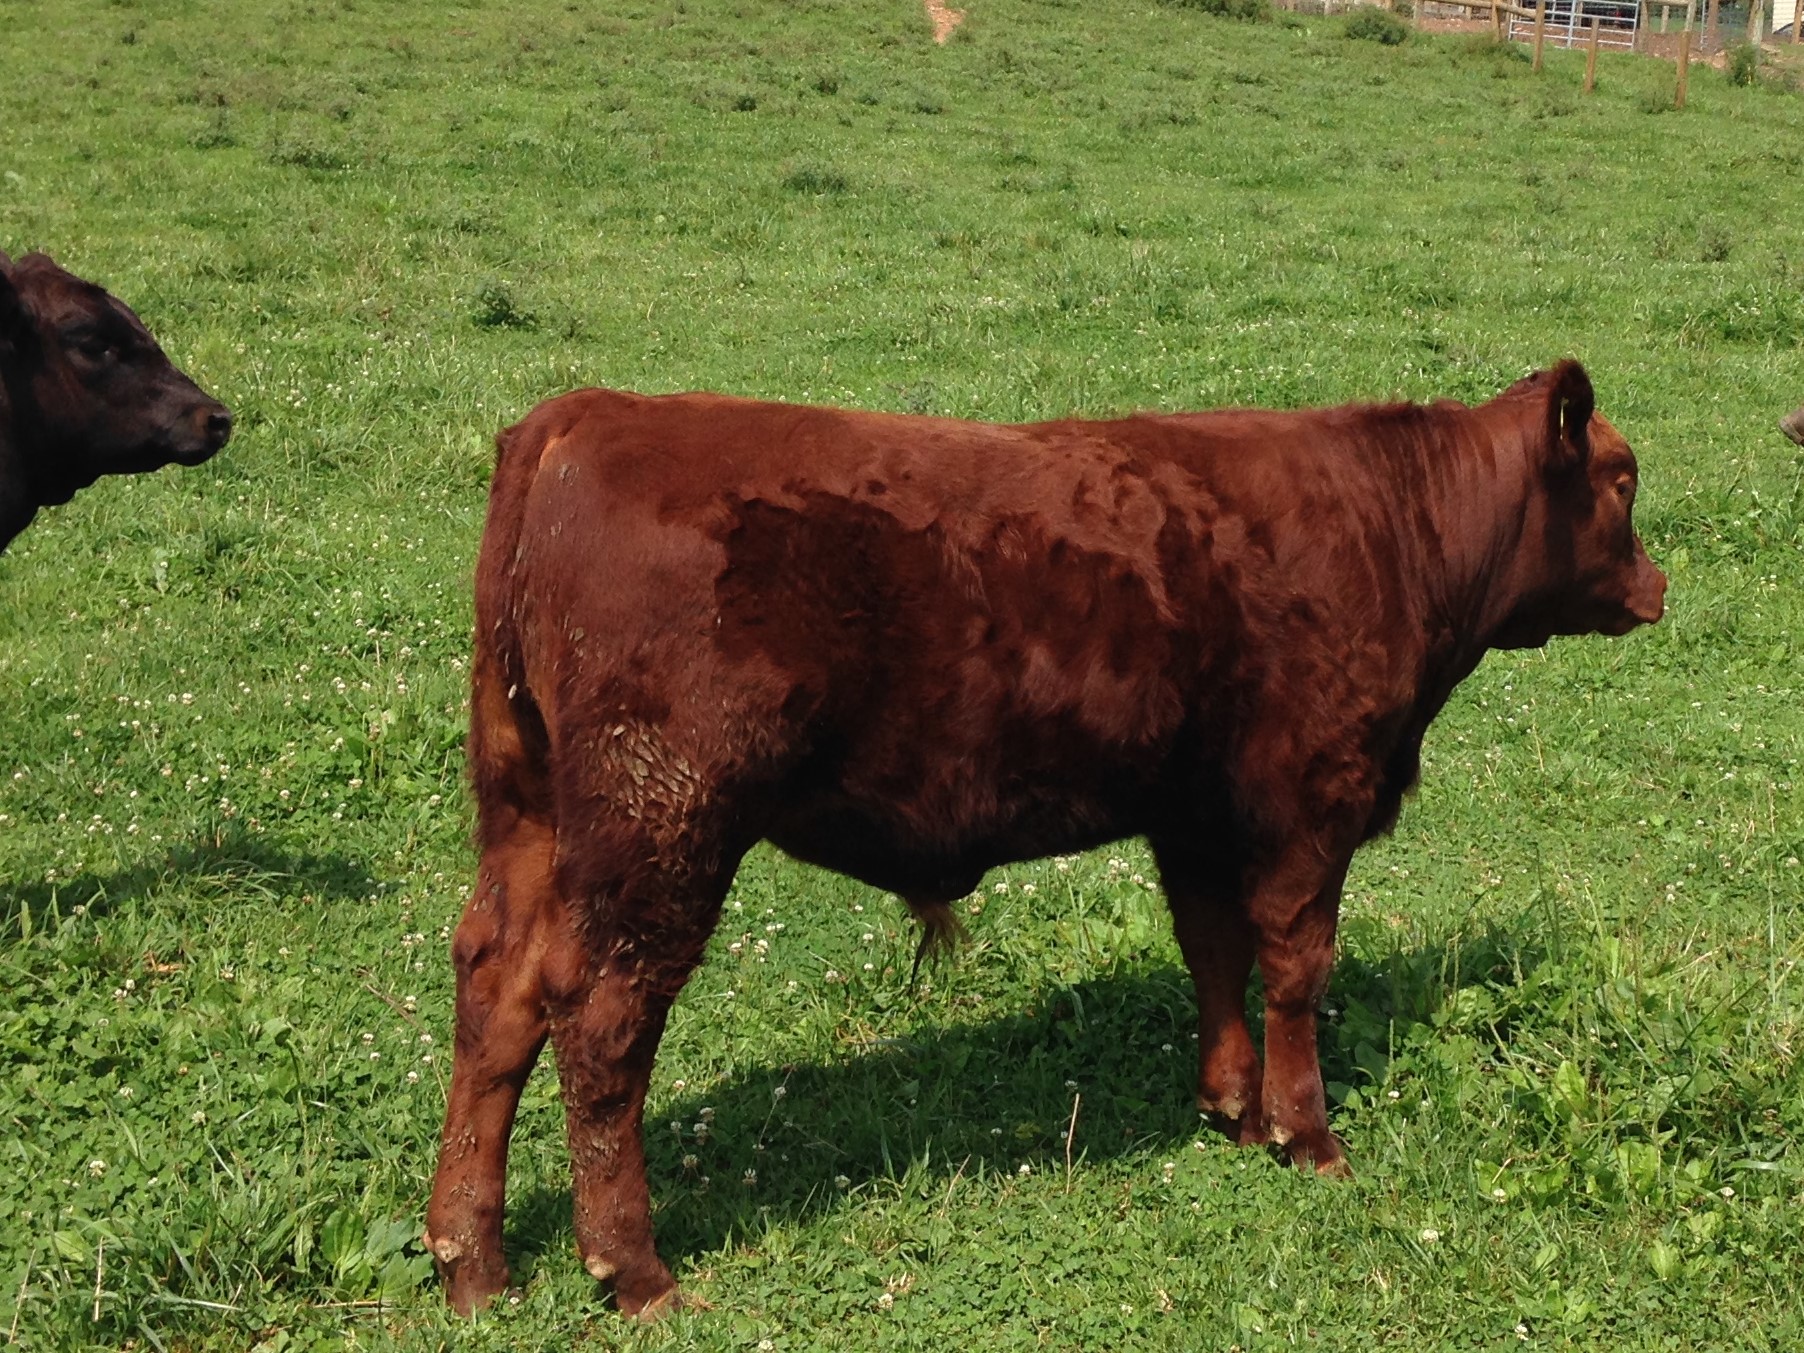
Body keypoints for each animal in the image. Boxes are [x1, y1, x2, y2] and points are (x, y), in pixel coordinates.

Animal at [424, 361, 1665, 1317]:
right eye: (1621, 478)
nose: (1657, 584)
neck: (1391, 527)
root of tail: (586, 414)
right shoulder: (1311, 802)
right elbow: (1294, 967)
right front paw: (1305, 1135)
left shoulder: (1195, 811)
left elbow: (1212, 950)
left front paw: (1229, 1108)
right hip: (660, 828)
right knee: (600, 1024)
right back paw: (632, 1270)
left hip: (532, 818)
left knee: (498, 992)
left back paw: (470, 1262)